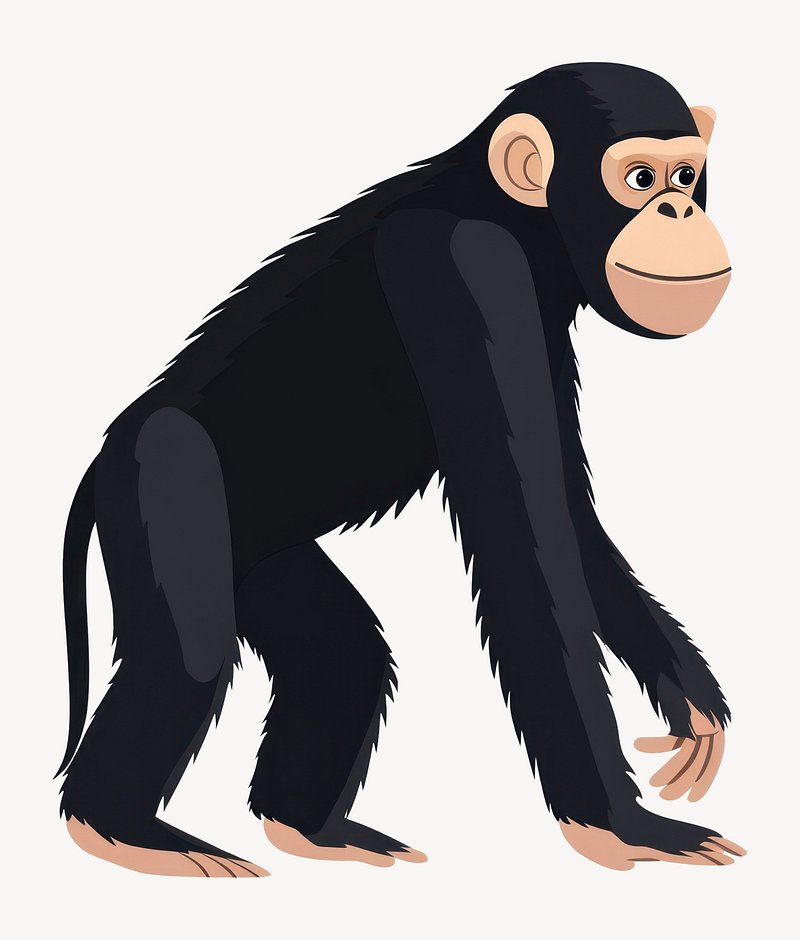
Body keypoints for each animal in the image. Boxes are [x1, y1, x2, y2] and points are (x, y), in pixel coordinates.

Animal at [58, 62, 744, 877]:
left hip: (257, 553)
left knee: (342, 654)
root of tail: (102, 460)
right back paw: (119, 830)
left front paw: (692, 704)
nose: (678, 208)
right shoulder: (464, 272)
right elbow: (522, 547)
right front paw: (619, 824)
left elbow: (567, 520)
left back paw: (309, 830)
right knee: (188, 657)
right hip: (158, 483)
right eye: (640, 178)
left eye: (687, 174)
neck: (520, 221)